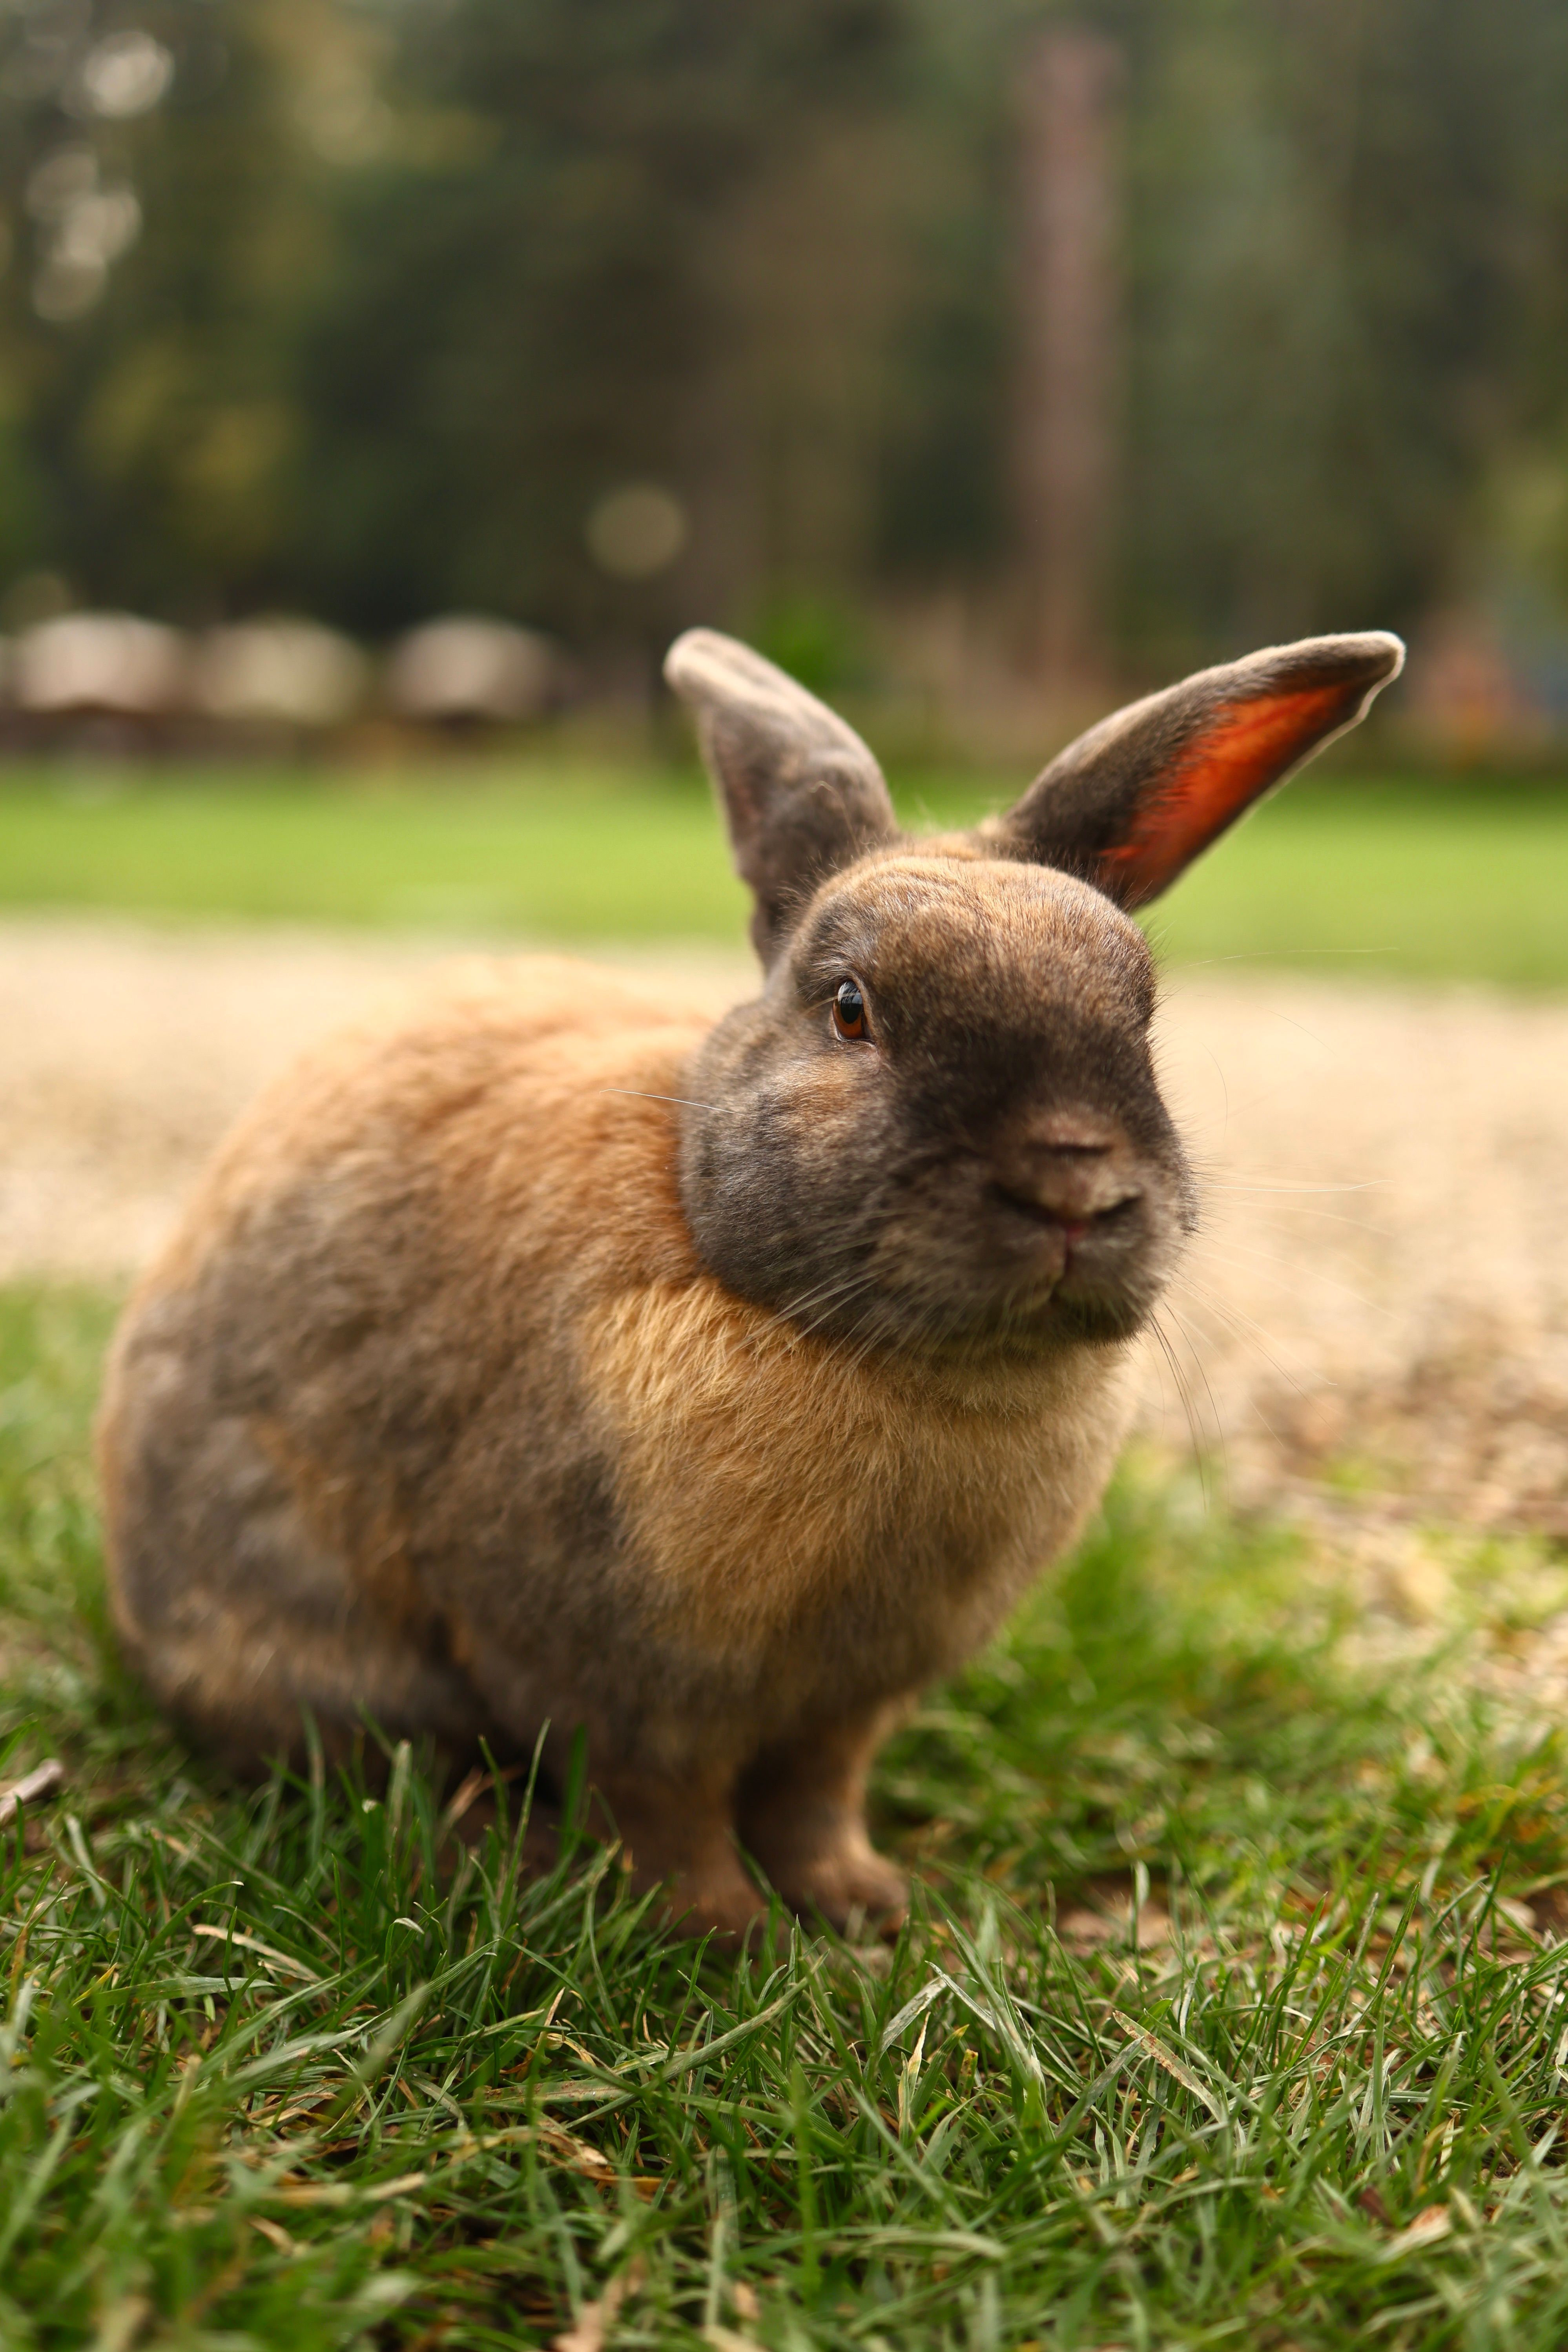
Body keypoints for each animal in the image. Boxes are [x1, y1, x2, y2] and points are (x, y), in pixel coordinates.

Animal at [97, 625, 1402, 1940]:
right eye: (852, 1010)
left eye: (1141, 1021)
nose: (1073, 1189)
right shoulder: (611, 1685)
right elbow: (663, 1808)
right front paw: (720, 1930)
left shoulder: (847, 1707)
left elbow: (816, 1797)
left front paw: (859, 1904)